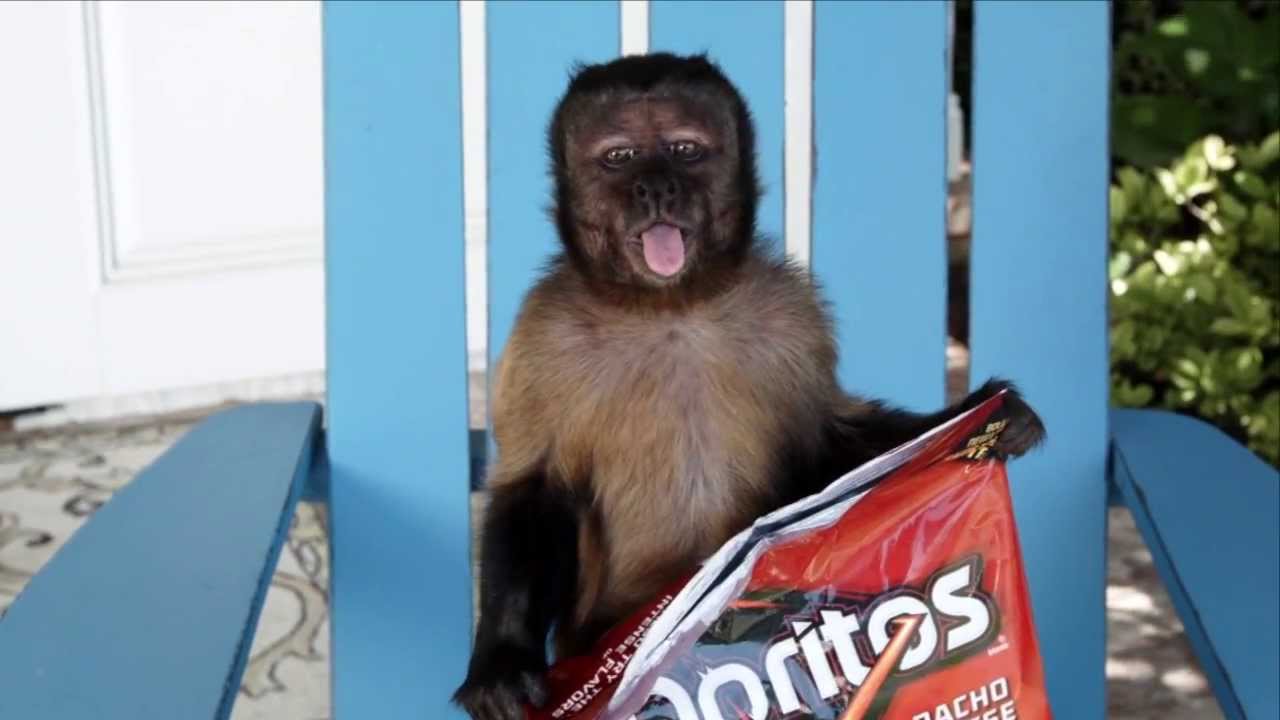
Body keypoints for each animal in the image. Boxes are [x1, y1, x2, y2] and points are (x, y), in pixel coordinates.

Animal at [453, 52, 1045, 720]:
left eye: (685, 149)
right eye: (620, 157)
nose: (656, 187)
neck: (669, 309)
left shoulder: (794, 318)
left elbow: (828, 443)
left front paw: (984, 415)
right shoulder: (542, 337)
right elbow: (531, 489)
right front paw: (501, 663)